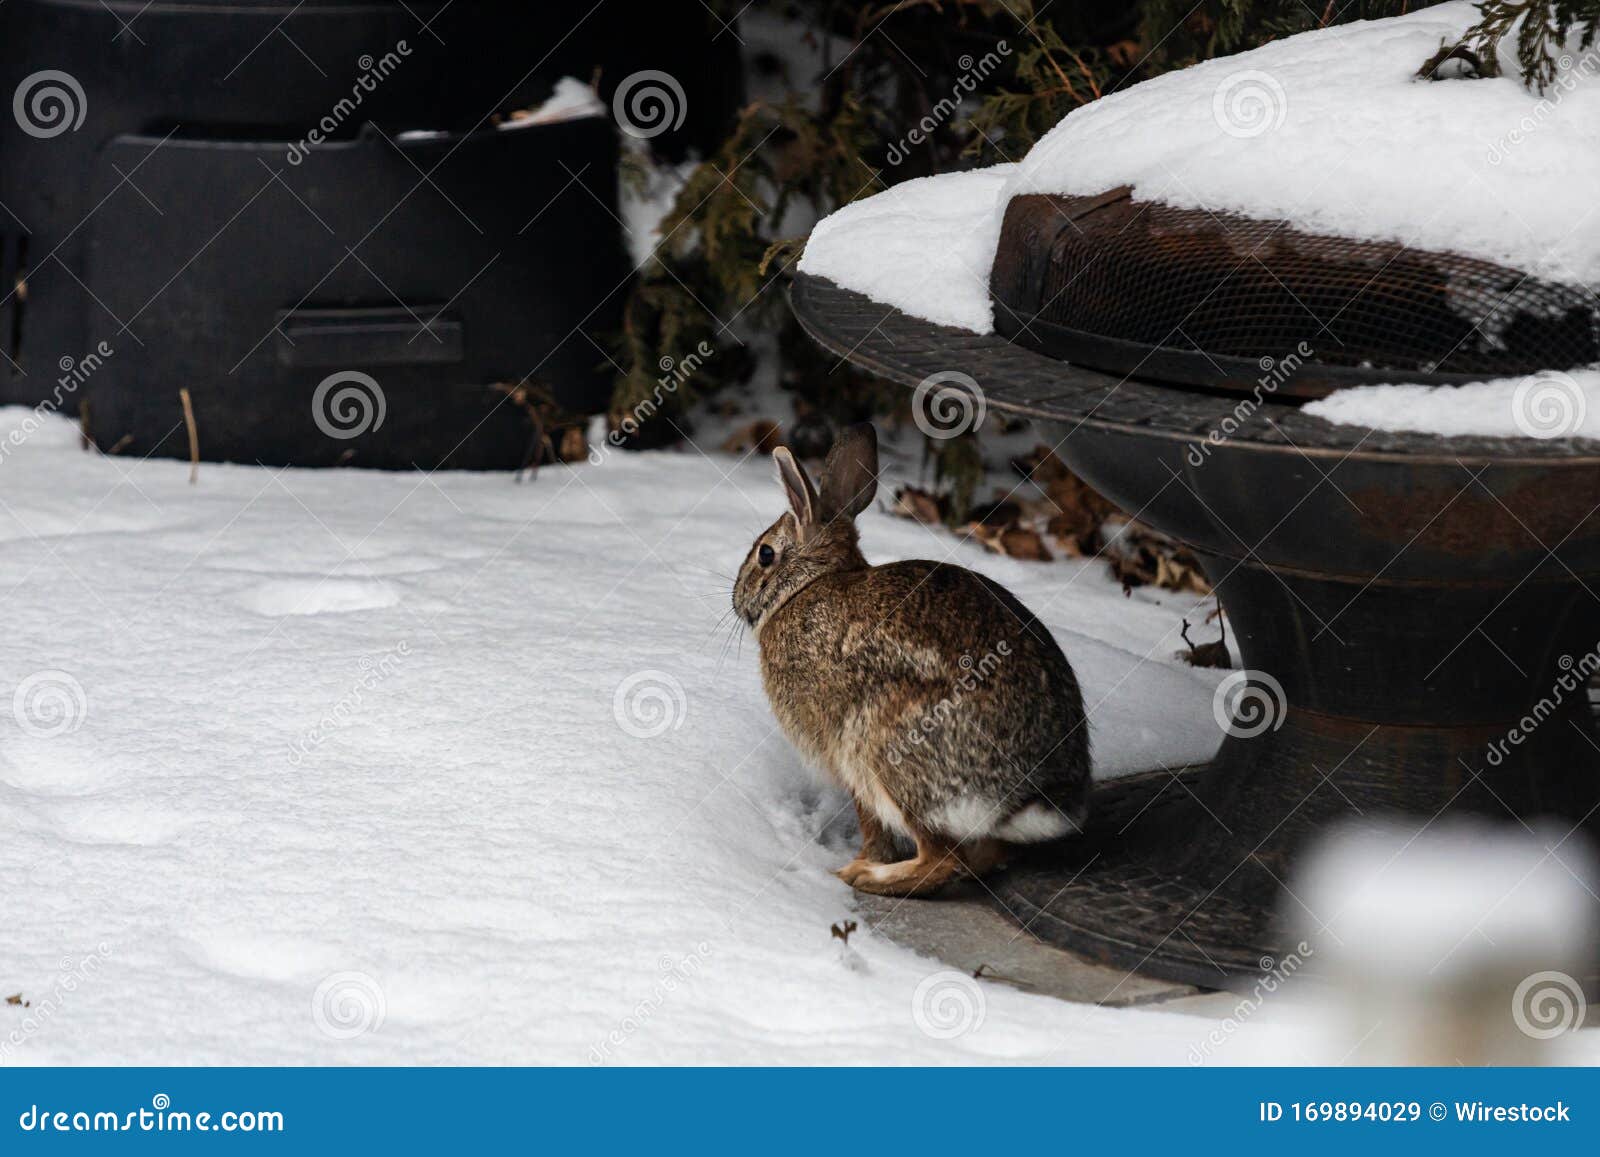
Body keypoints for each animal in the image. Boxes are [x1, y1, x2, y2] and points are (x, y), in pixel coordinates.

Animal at [733, 423, 1090, 897]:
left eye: (766, 553)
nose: (736, 599)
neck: (809, 586)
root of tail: (1030, 796)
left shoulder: (845, 756)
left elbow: (871, 825)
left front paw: (865, 861)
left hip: (887, 748)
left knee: (944, 860)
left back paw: (866, 877)